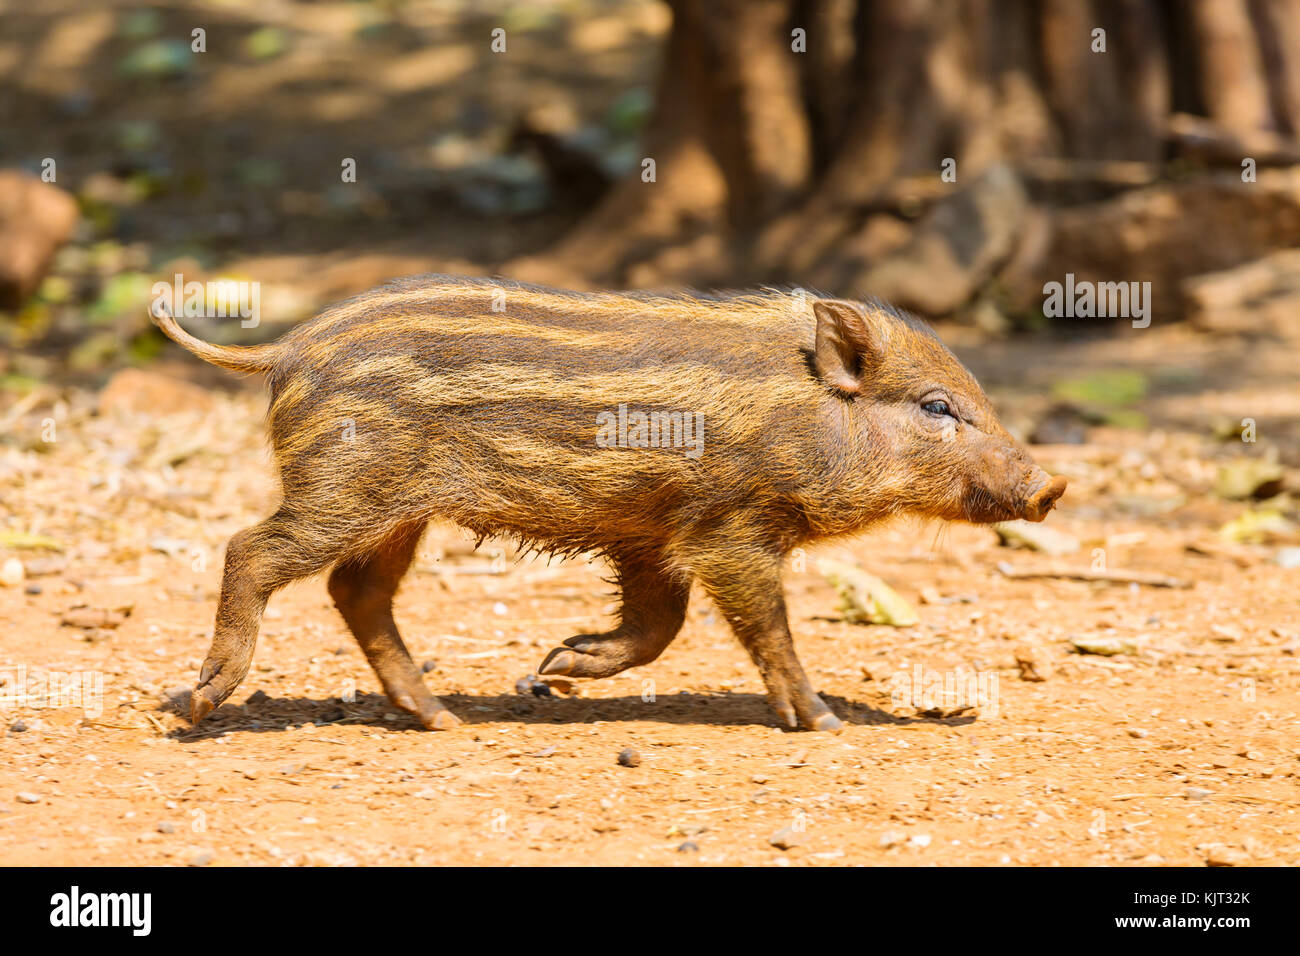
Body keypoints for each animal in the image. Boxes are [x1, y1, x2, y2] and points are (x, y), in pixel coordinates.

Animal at [150, 276, 1066, 732]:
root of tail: (282, 350)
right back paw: (194, 704)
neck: (806, 417)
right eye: (938, 407)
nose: (1052, 486)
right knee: (251, 551)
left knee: (357, 591)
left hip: (397, 511)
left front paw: (554, 670)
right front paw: (822, 721)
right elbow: (763, 626)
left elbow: (658, 627)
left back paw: (445, 722)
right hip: (345, 487)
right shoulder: (731, 528)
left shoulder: (653, 536)